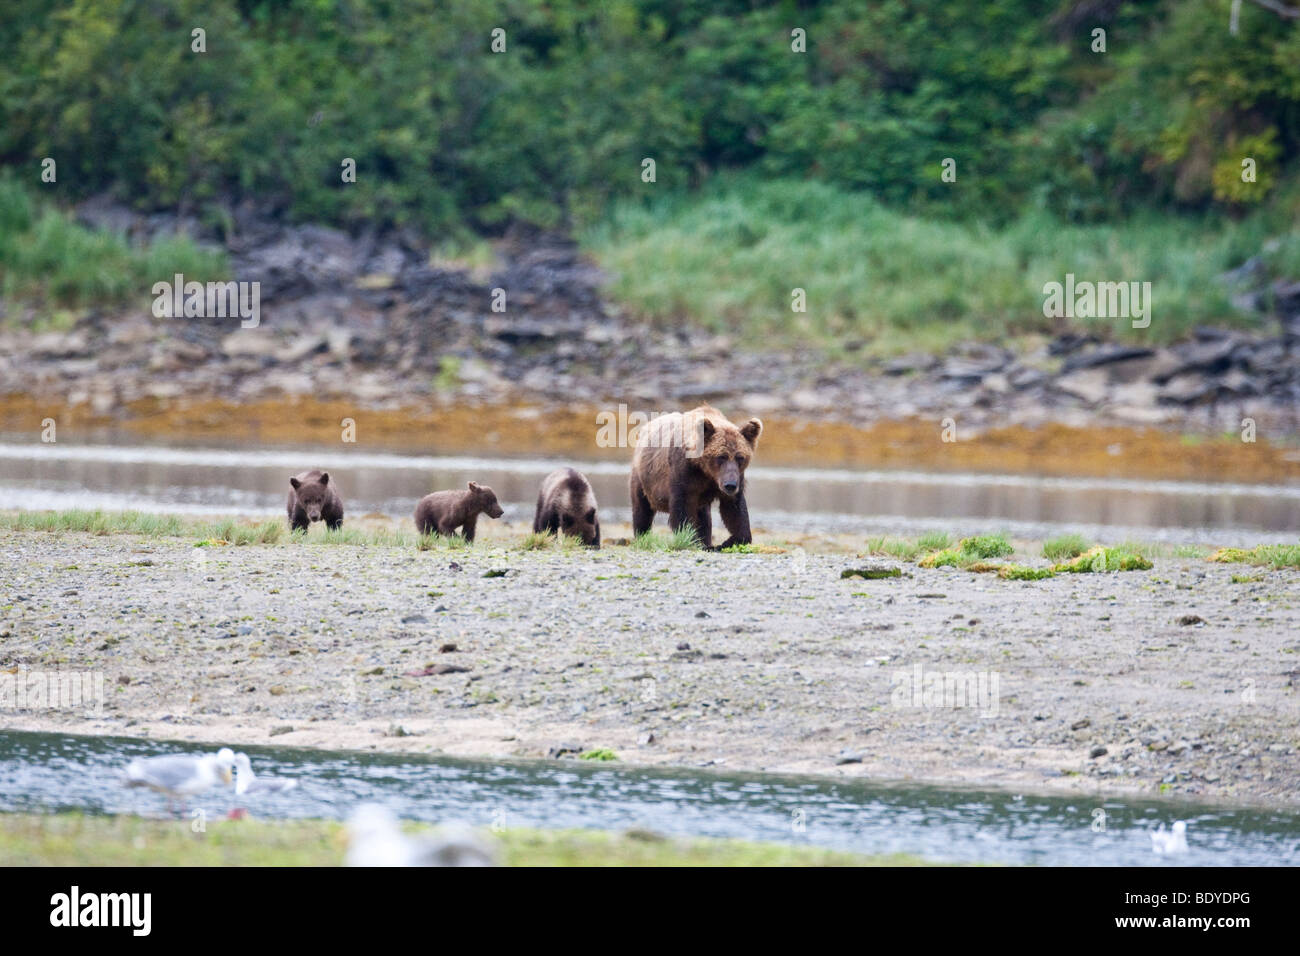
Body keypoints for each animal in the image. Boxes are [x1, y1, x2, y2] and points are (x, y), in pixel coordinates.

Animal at [629, 405, 762, 550]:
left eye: (740, 457)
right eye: (721, 456)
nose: (730, 485)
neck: (705, 470)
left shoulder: (733, 478)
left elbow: (734, 509)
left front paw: (731, 541)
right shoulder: (684, 473)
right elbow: (682, 507)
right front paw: (689, 538)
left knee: (704, 516)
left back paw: (706, 542)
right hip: (643, 478)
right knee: (642, 509)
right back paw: (642, 536)